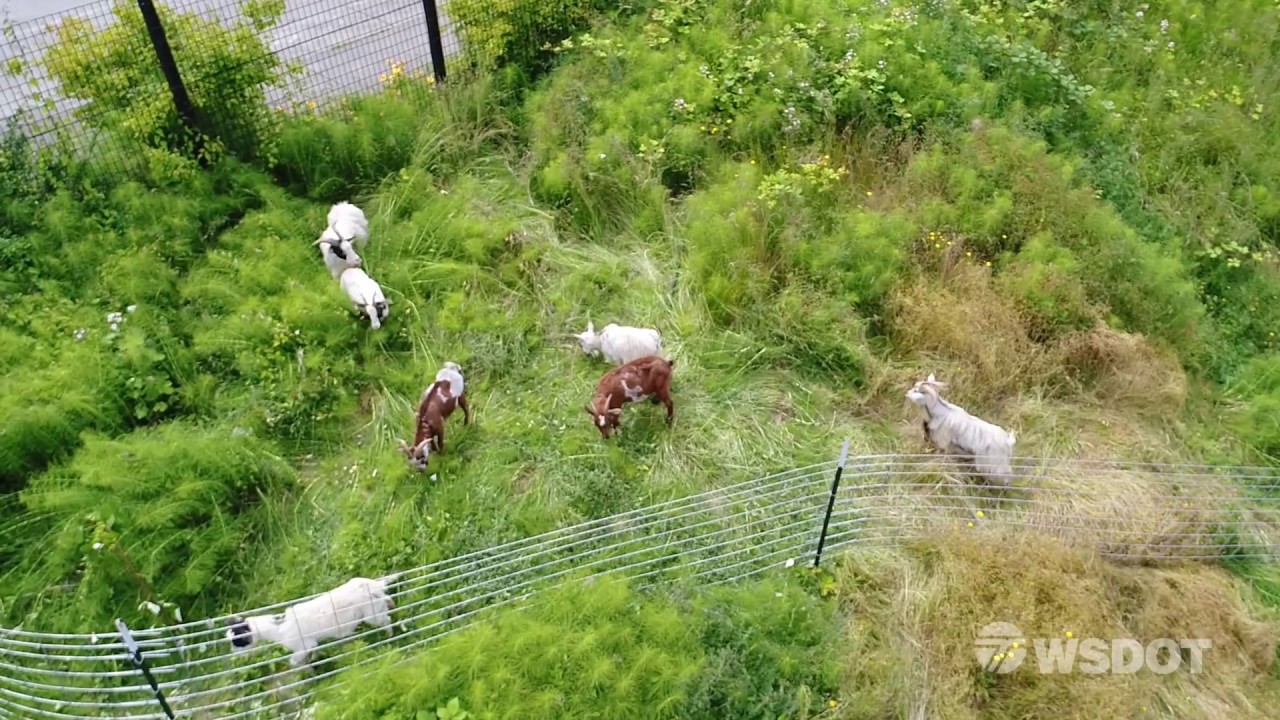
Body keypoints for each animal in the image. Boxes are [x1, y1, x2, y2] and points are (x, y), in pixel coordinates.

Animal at [225, 573, 402, 667]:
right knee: (387, 600)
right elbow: (313, 652)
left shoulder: (302, 646)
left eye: (237, 642)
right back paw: (392, 605)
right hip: (376, 605)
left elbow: (293, 661)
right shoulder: (312, 644)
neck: (278, 628)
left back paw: (390, 636)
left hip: (372, 615)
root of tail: (373, 584)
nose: (232, 654)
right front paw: (314, 660)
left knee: (386, 620)